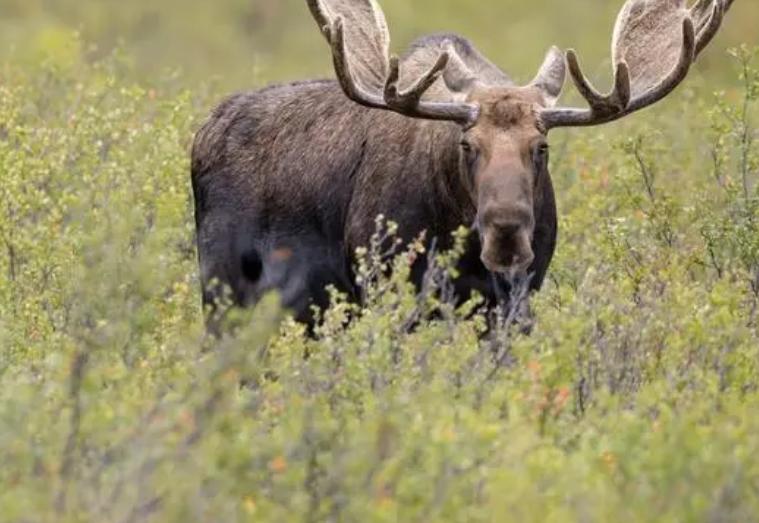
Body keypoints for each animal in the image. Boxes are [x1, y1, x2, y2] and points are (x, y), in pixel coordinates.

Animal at [191, 0, 735, 333]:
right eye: (467, 145)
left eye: (541, 147)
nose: (507, 229)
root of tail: (203, 131)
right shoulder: (386, 286)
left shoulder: (515, 300)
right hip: (223, 289)